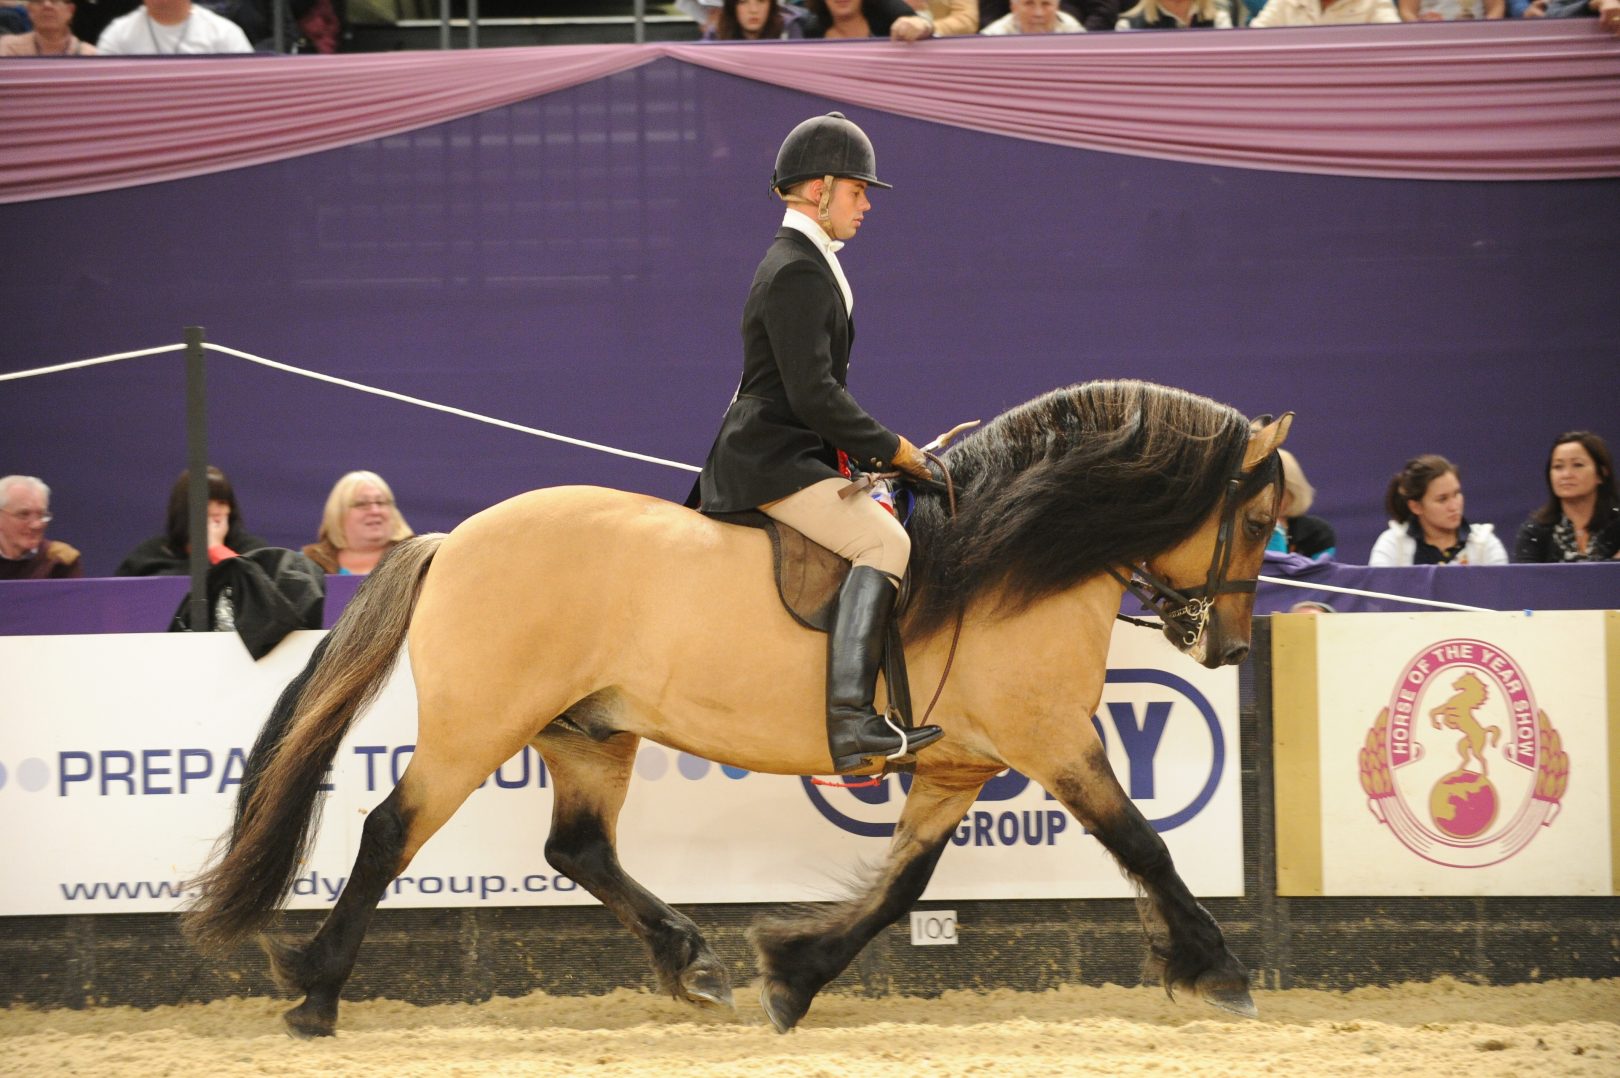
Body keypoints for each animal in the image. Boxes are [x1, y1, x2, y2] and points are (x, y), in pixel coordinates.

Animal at [182, 379, 1291, 1038]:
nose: (1229, 647)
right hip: (476, 729)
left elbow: (903, 885)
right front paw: (1223, 969)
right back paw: (317, 996)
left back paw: (692, 960)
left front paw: (793, 973)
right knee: (388, 833)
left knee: (578, 849)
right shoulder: (1054, 741)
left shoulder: (958, 764)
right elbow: (1145, 844)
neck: (1008, 558)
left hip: (592, 734)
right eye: (1259, 521)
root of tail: (451, 539)